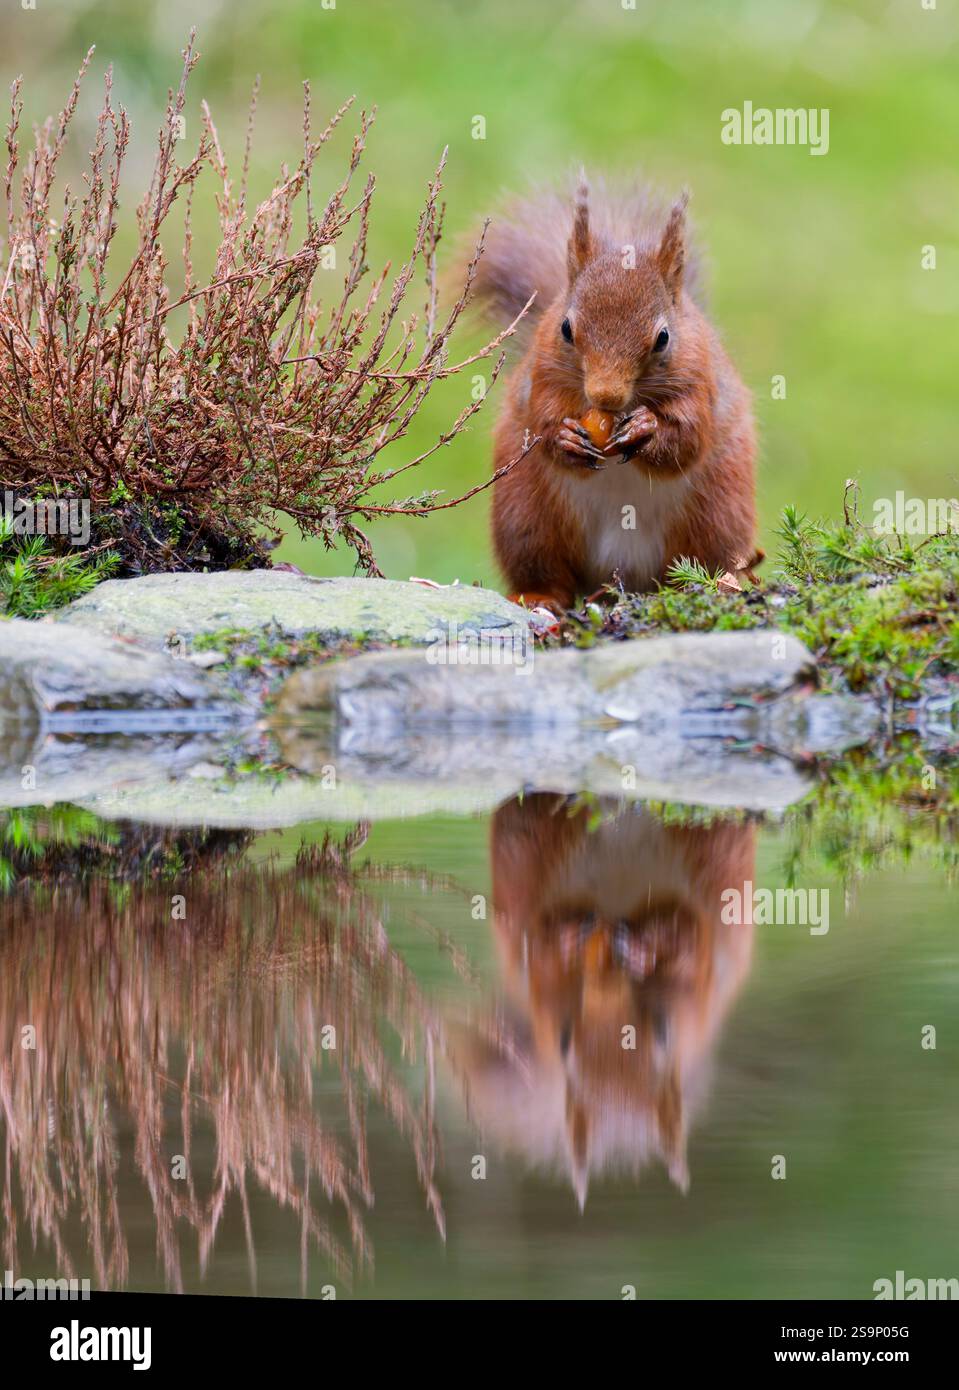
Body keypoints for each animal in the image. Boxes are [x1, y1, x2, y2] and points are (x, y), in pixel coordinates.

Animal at [468, 179, 757, 613]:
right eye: (566, 328)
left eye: (663, 338)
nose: (605, 395)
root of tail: (620, 582)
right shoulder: (542, 378)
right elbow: (542, 422)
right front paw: (565, 438)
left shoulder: (700, 383)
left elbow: (688, 441)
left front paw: (645, 431)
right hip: (526, 516)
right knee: (548, 574)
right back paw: (538, 595)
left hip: (718, 514)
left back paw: (714, 586)